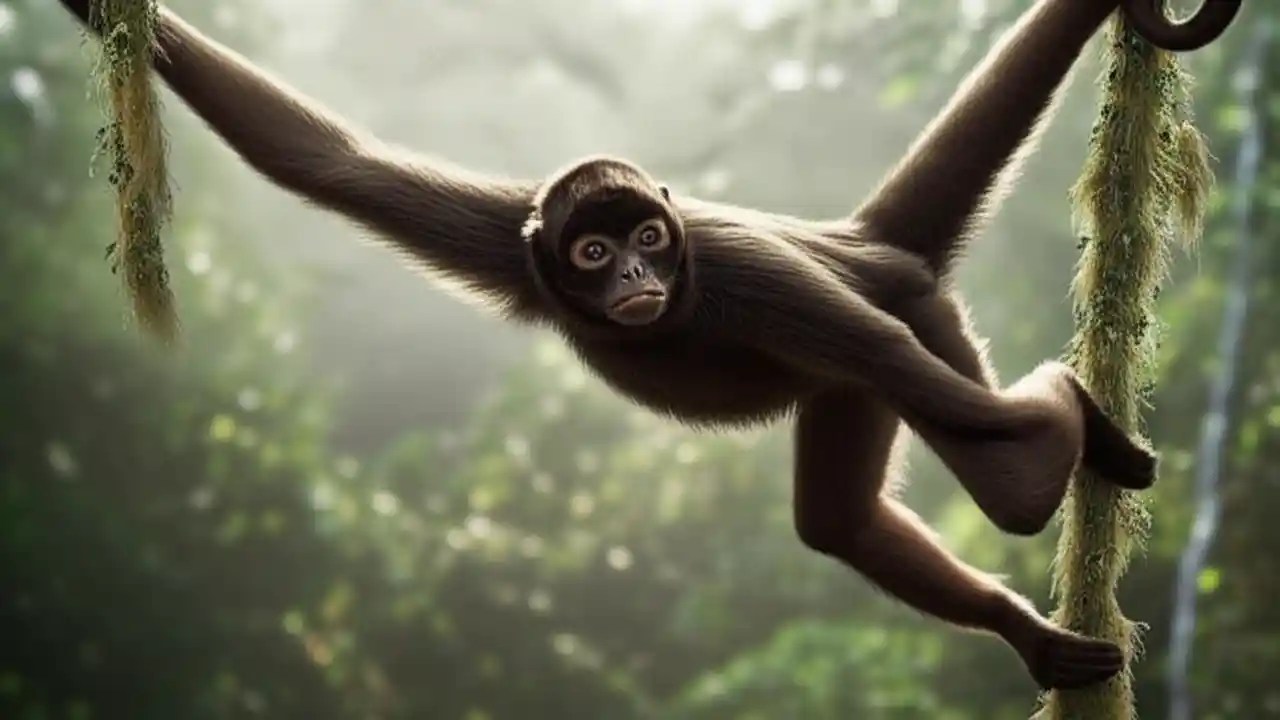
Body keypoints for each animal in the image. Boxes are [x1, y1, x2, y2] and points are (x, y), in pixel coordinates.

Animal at [50, 0, 1237, 691]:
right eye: (592, 248)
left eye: (649, 240)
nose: (632, 277)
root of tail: (856, 236)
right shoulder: (516, 236)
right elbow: (322, 159)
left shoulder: (749, 275)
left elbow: (959, 414)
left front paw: (1068, 419)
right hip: (853, 364)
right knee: (840, 517)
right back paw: (1024, 626)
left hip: (894, 298)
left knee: (968, 430)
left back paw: (1072, 413)